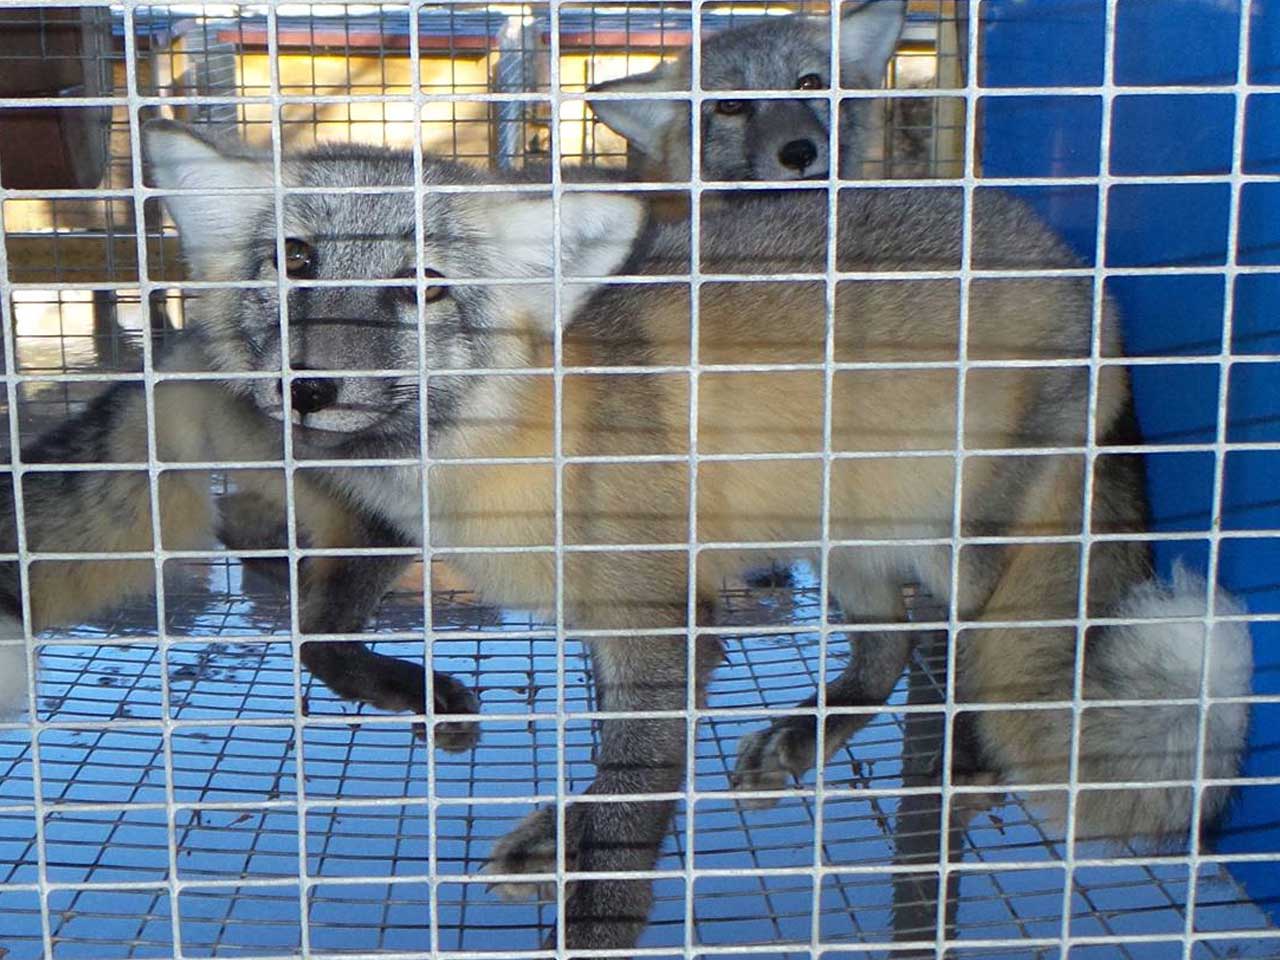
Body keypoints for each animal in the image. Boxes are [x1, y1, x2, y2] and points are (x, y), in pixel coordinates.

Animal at [1, 124, 1252, 954]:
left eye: (420, 289)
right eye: (294, 263)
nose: (307, 387)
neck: (513, 448)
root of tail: (1071, 257)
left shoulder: (665, 621)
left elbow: (627, 817)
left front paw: (589, 914)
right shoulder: (603, 618)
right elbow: (602, 777)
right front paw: (531, 810)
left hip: (960, 548)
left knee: (972, 664)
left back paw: (968, 770)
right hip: (846, 539)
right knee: (887, 650)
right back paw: (808, 732)